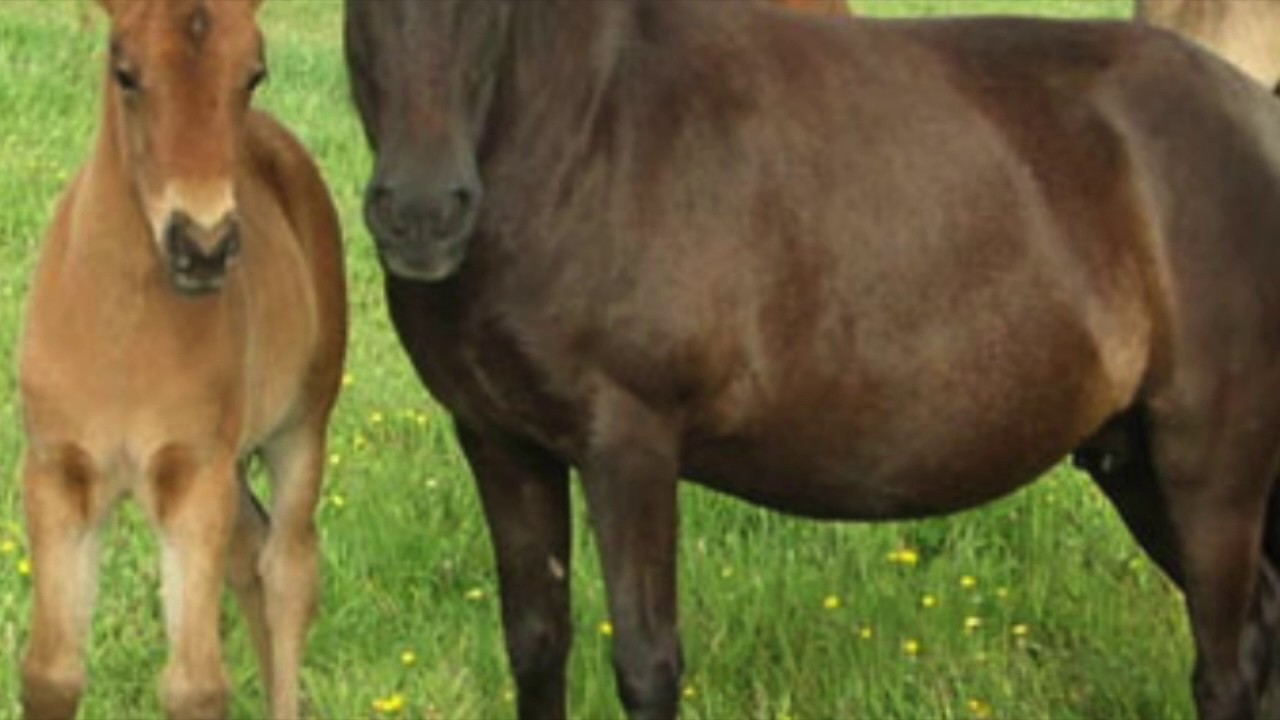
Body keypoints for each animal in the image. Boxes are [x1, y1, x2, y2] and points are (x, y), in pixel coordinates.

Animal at [18, 0, 346, 718]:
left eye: (254, 72)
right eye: (125, 72)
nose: (202, 246)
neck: (122, 338)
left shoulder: (195, 472)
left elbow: (195, 685)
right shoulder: (58, 470)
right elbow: (51, 673)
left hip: (301, 424)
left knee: (288, 572)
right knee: (250, 556)